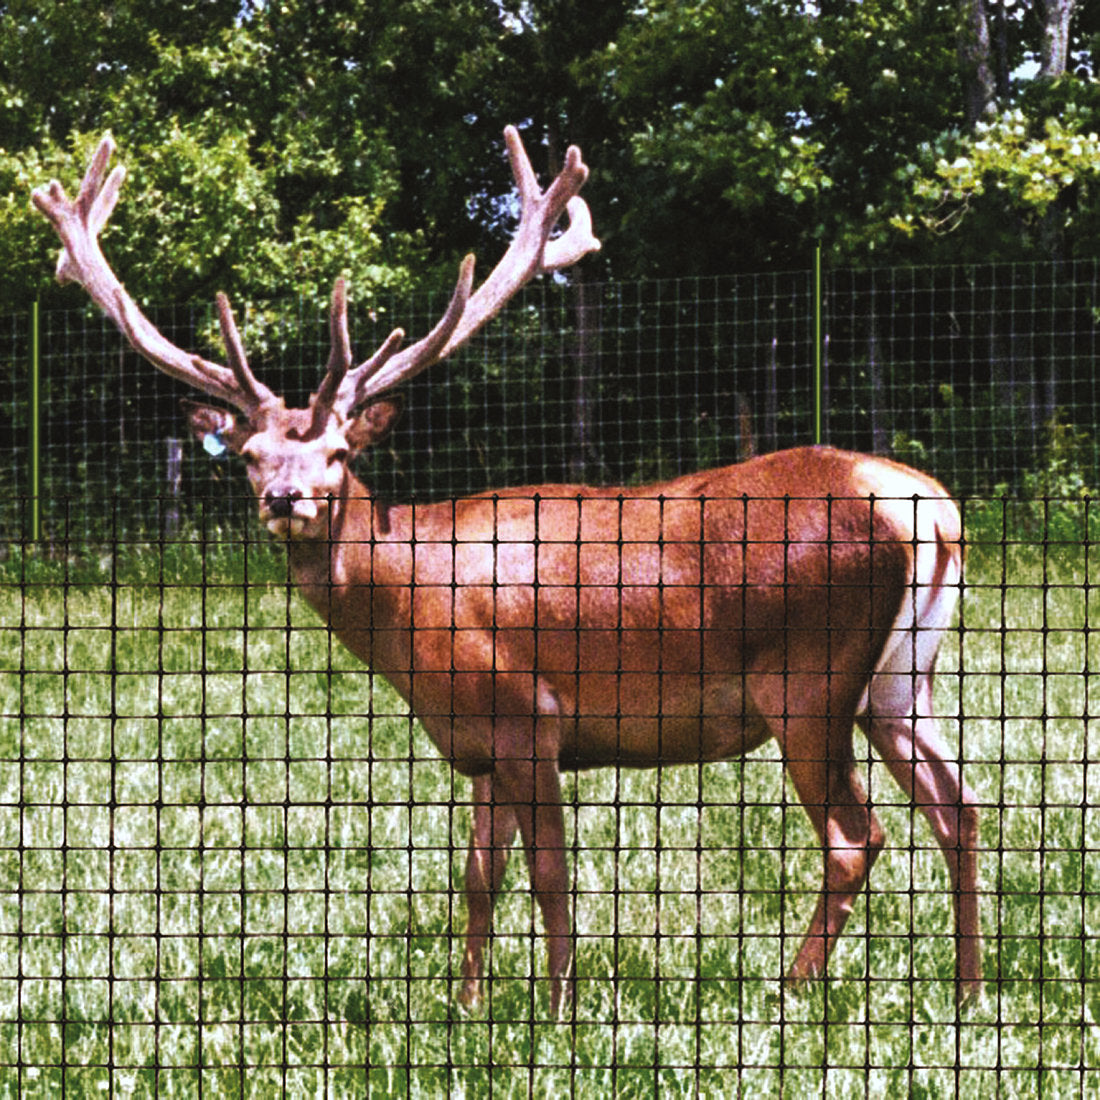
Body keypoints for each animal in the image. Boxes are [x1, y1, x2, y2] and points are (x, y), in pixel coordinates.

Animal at [33, 128, 981, 1017]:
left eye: (338, 451)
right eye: (249, 456)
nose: (286, 498)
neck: (412, 605)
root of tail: (923, 505)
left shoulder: (530, 715)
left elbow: (550, 876)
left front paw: (559, 1011)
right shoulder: (478, 742)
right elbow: (478, 879)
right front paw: (468, 1005)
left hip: (808, 677)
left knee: (856, 836)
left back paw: (791, 989)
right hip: (901, 680)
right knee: (959, 805)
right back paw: (971, 991)